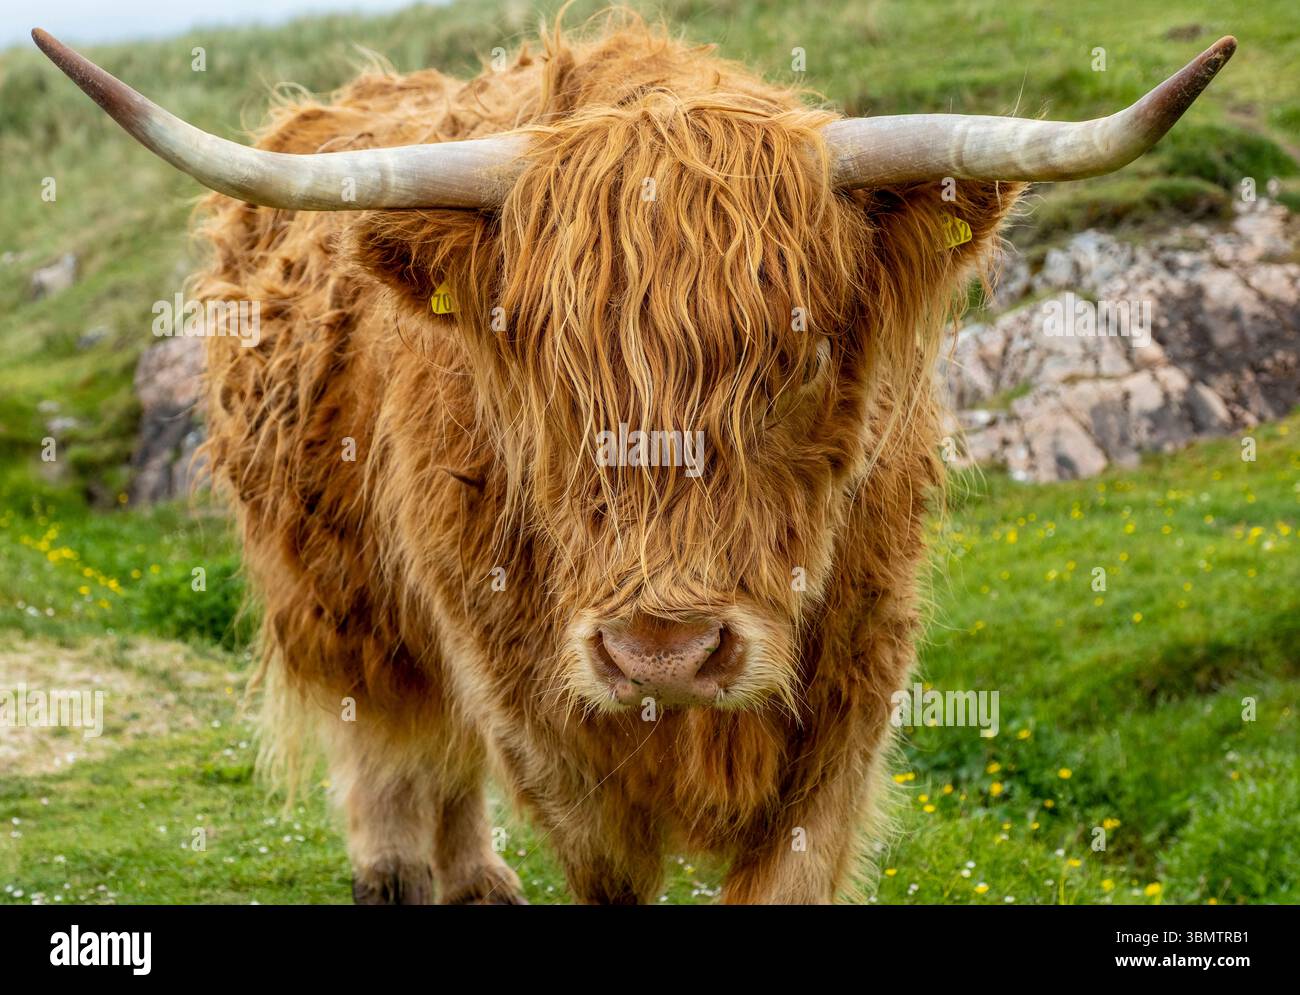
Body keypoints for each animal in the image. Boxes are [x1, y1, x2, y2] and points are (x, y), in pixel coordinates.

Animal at [34, 15, 1234, 904]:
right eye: (545, 362)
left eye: (802, 355)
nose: (665, 649)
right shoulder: (538, 704)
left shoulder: (849, 703)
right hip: (333, 574)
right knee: (390, 725)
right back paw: (406, 870)